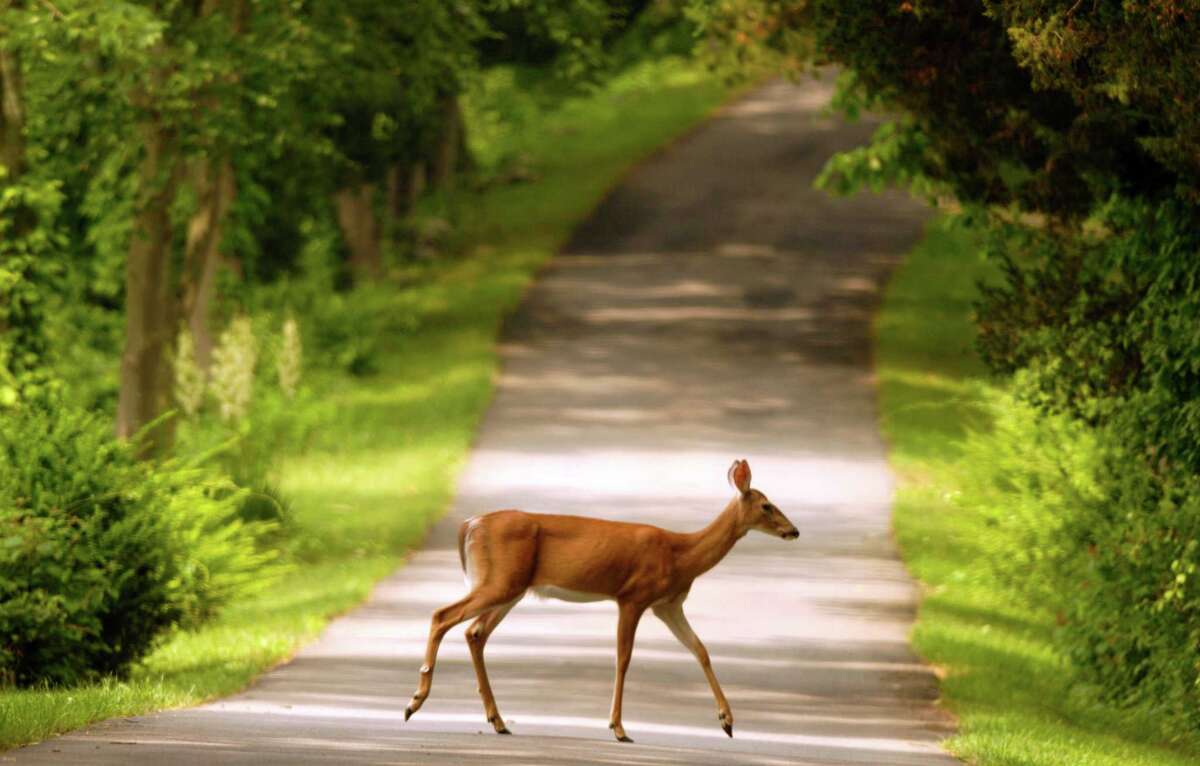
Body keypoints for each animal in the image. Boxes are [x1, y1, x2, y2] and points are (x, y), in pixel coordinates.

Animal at [402, 459, 799, 743]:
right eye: (767, 505)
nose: (793, 530)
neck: (681, 554)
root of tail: (469, 524)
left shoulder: (668, 605)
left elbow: (700, 649)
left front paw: (727, 721)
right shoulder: (633, 596)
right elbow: (623, 658)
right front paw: (618, 728)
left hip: (510, 587)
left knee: (474, 633)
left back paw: (497, 720)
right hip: (500, 582)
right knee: (442, 615)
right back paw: (414, 702)